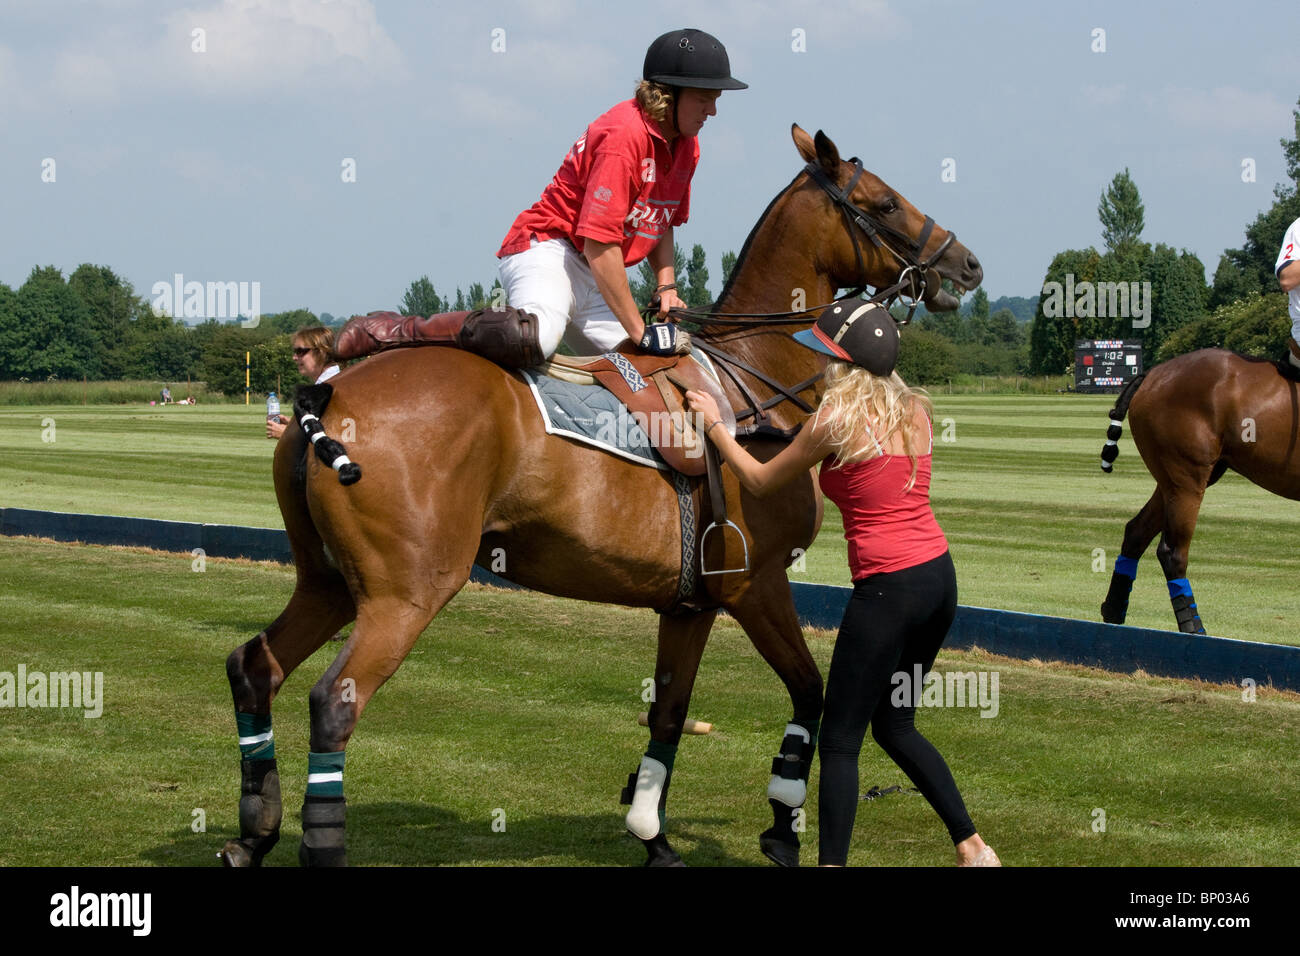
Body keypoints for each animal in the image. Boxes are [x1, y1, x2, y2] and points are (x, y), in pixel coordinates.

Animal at [221, 123, 983, 867]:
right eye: (885, 202)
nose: (968, 265)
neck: (753, 380)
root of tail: (328, 392)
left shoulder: (690, 602)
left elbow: (670, 712)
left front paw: (654, 835)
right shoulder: (756, 582)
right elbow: (809, 691)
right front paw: (780, 819)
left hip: (328, 580)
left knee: (254, 666)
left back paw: (252, 835)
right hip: (406, 590)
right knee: (334, 701)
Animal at [1100, 348, 1300, 635]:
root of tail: (1153, 373)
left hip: (1171, 481)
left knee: (1136, 532)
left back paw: (1114, 612)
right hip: (1187, 478)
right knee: (1172, 552)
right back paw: (1193, 627)